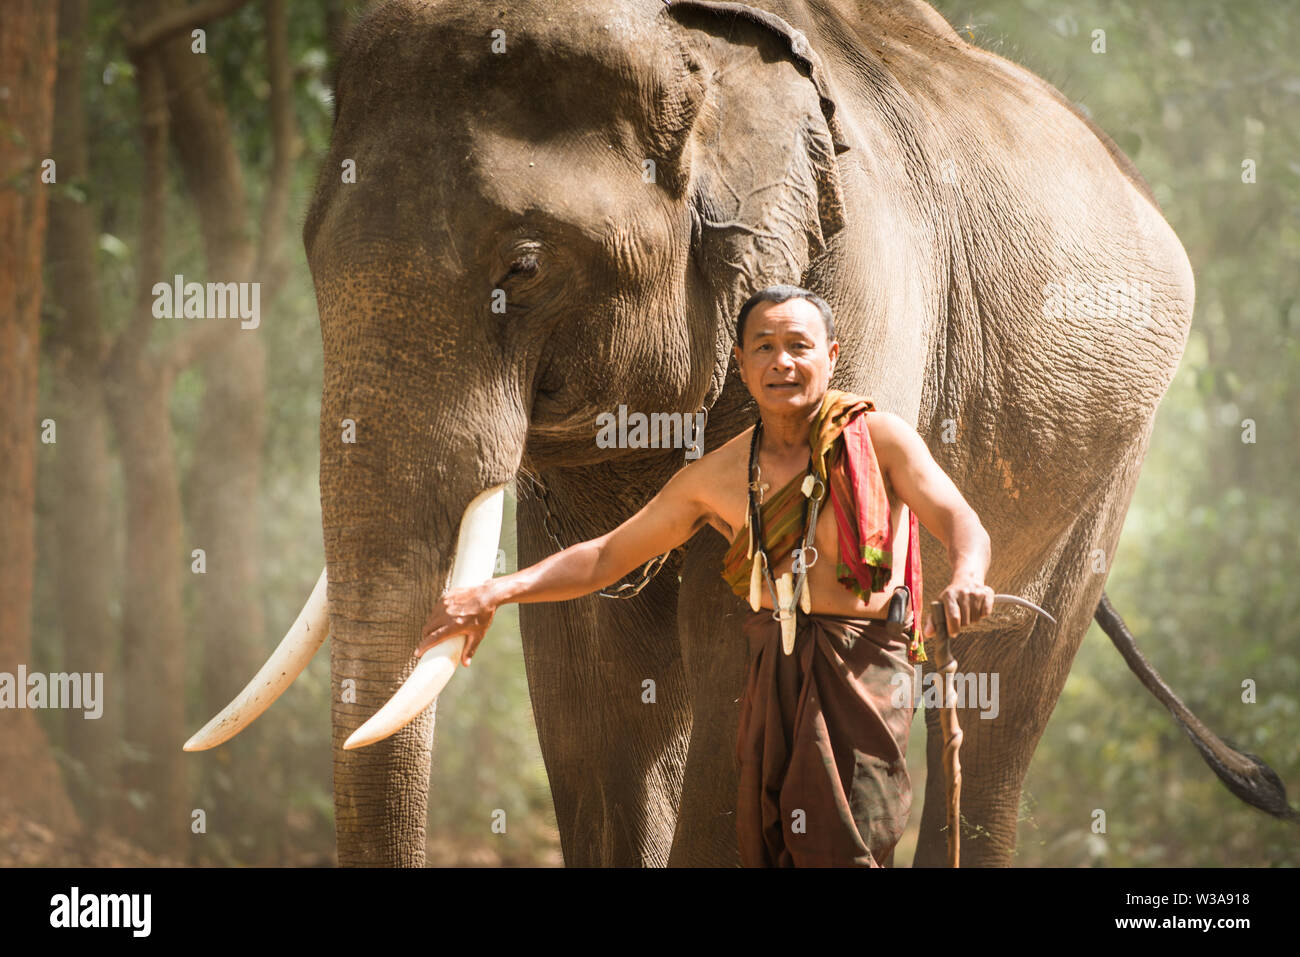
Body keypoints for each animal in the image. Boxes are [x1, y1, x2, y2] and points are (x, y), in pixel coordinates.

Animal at [187, 0, 1296, 866]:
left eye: (525, 266)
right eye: (310, 251)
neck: (698, 50)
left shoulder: (862, 278)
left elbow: (743, 652)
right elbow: (587, 677)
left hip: (1113, 460)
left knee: (999, 709)